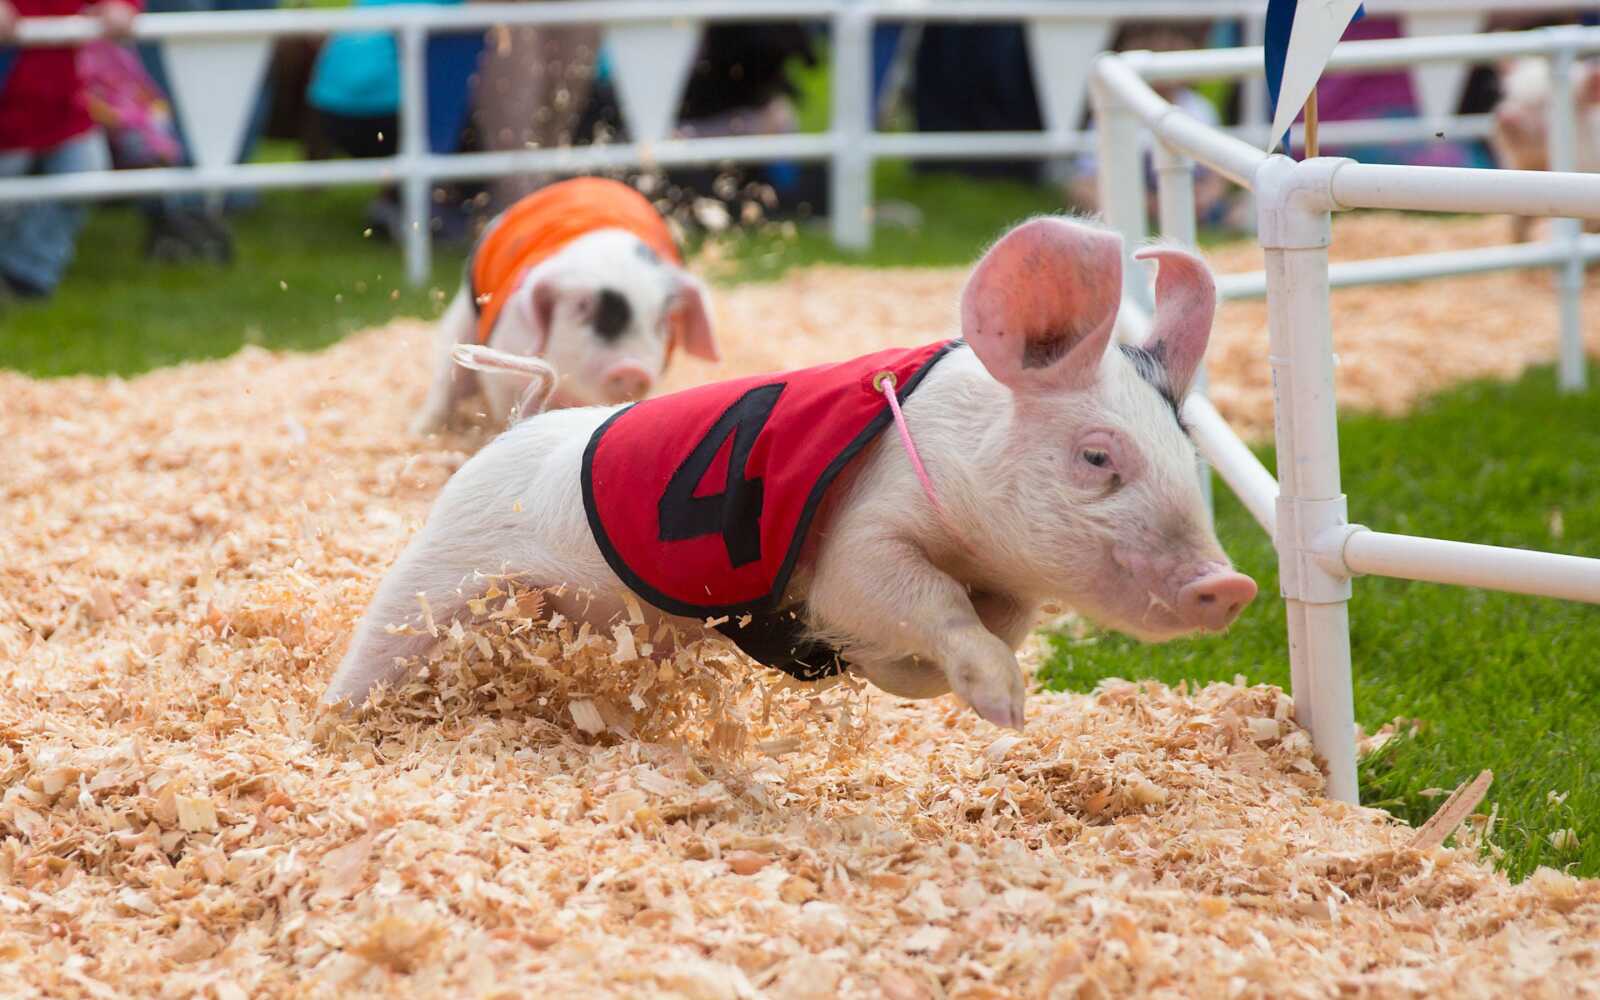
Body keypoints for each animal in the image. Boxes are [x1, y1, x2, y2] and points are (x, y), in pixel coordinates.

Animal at [326, 216, 1256, 729]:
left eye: (1187, 448)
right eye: (1098, 456)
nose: (1232, 585)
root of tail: (517, 430)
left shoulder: (1006, 585)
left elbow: (985, 628)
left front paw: (912, 680)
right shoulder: (859, 539)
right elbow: (918, 599)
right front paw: (1008, 711)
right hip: (442, 566)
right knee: (382, 638)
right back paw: (331, 723)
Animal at [412, 177, 721, 434]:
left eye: (661, 321)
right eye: (582, 307)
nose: (632, 369)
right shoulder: (503, 374)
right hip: (462, 321)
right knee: (446, 381)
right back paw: (420, 431)